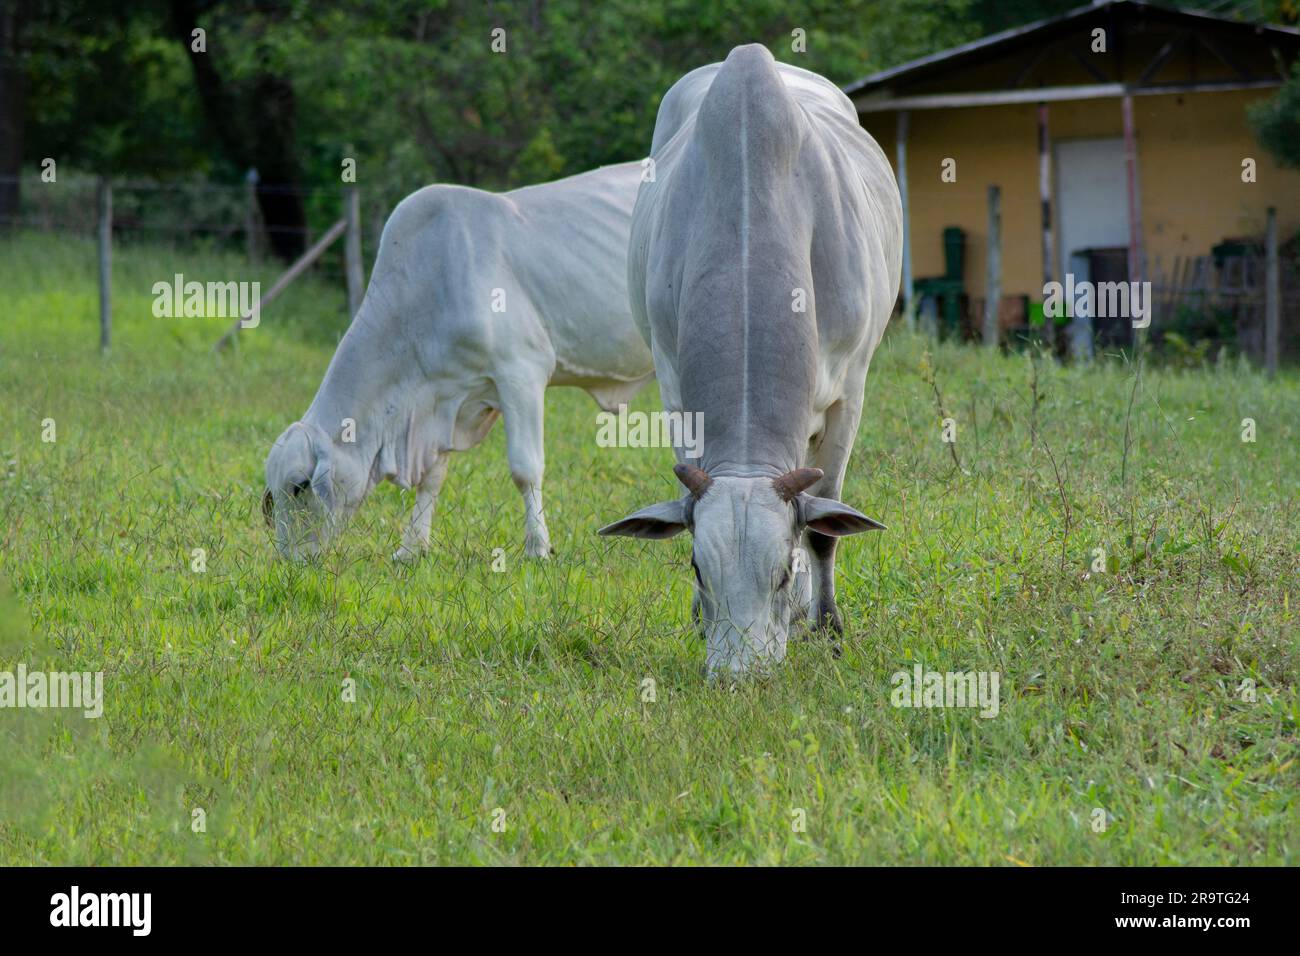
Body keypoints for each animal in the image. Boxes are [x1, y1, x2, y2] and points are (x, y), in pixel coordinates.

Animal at [265, 162, 654, 562]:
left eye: (299, 486)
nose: (291, 561)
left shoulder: (521, 373)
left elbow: (525, 468)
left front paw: (537, 547)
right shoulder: (442, 397)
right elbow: (432, 477)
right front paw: (410, 548)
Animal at [599, 46, 902, 678]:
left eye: (781, 572)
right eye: (696, 568)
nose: (741, 677)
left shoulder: (850, 392)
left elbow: (822, 532)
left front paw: (827, 628)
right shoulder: (673, 389)